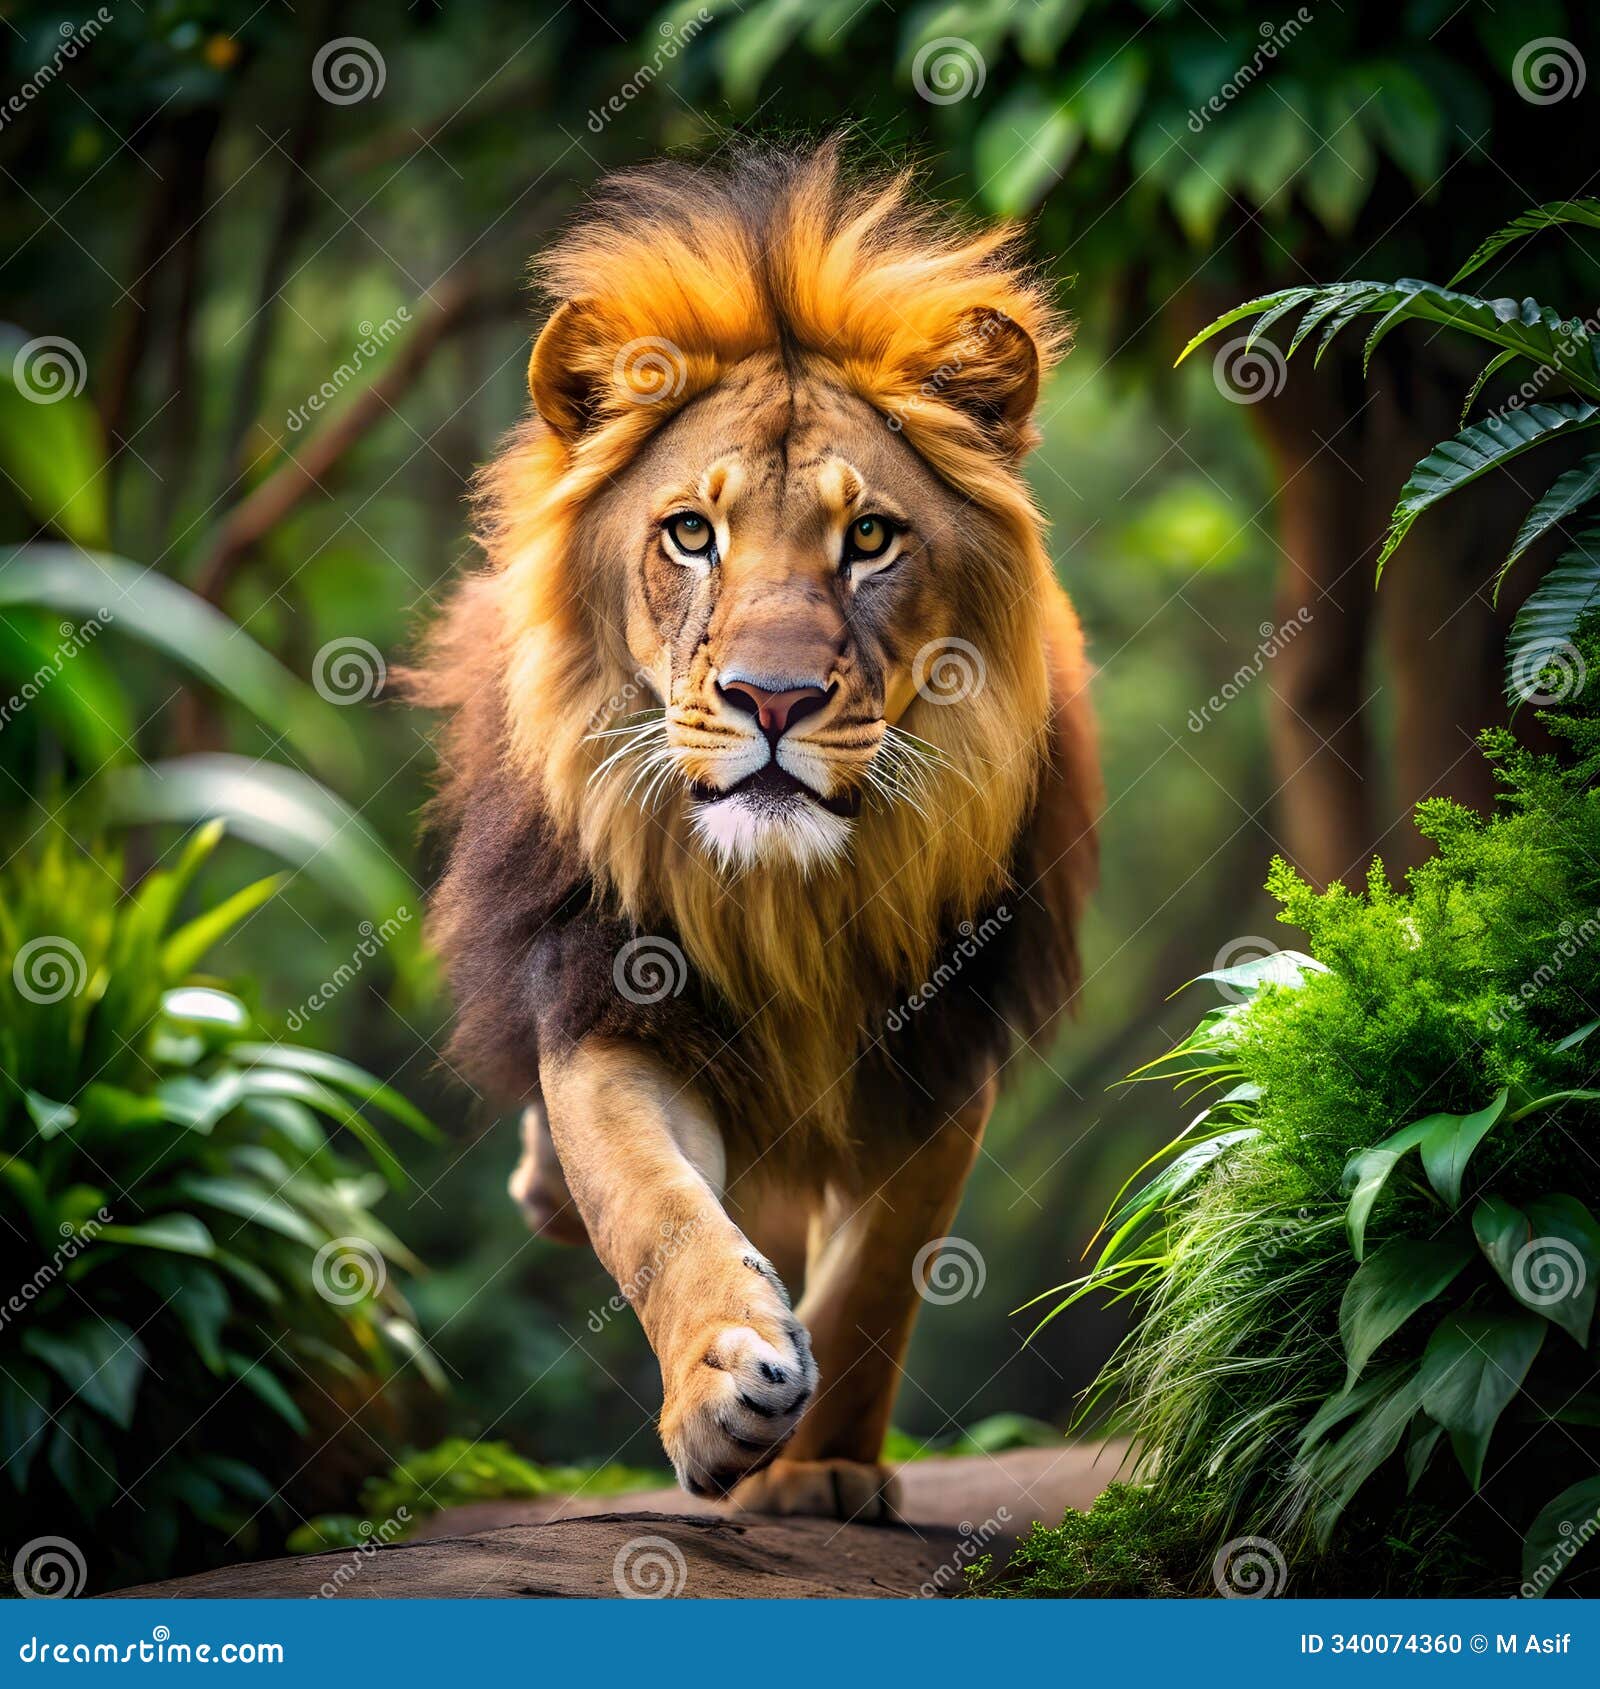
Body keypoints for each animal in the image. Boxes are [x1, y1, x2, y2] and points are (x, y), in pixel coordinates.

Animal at [410, 139, 1099, 1521]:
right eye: (691, 533)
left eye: (869, 537)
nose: (772, 700)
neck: (789, 893)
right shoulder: (609, 993)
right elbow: (654, 1208)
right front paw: (728, 1379)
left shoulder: (942, 1042)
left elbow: (883, 1265)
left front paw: (821, 1462)